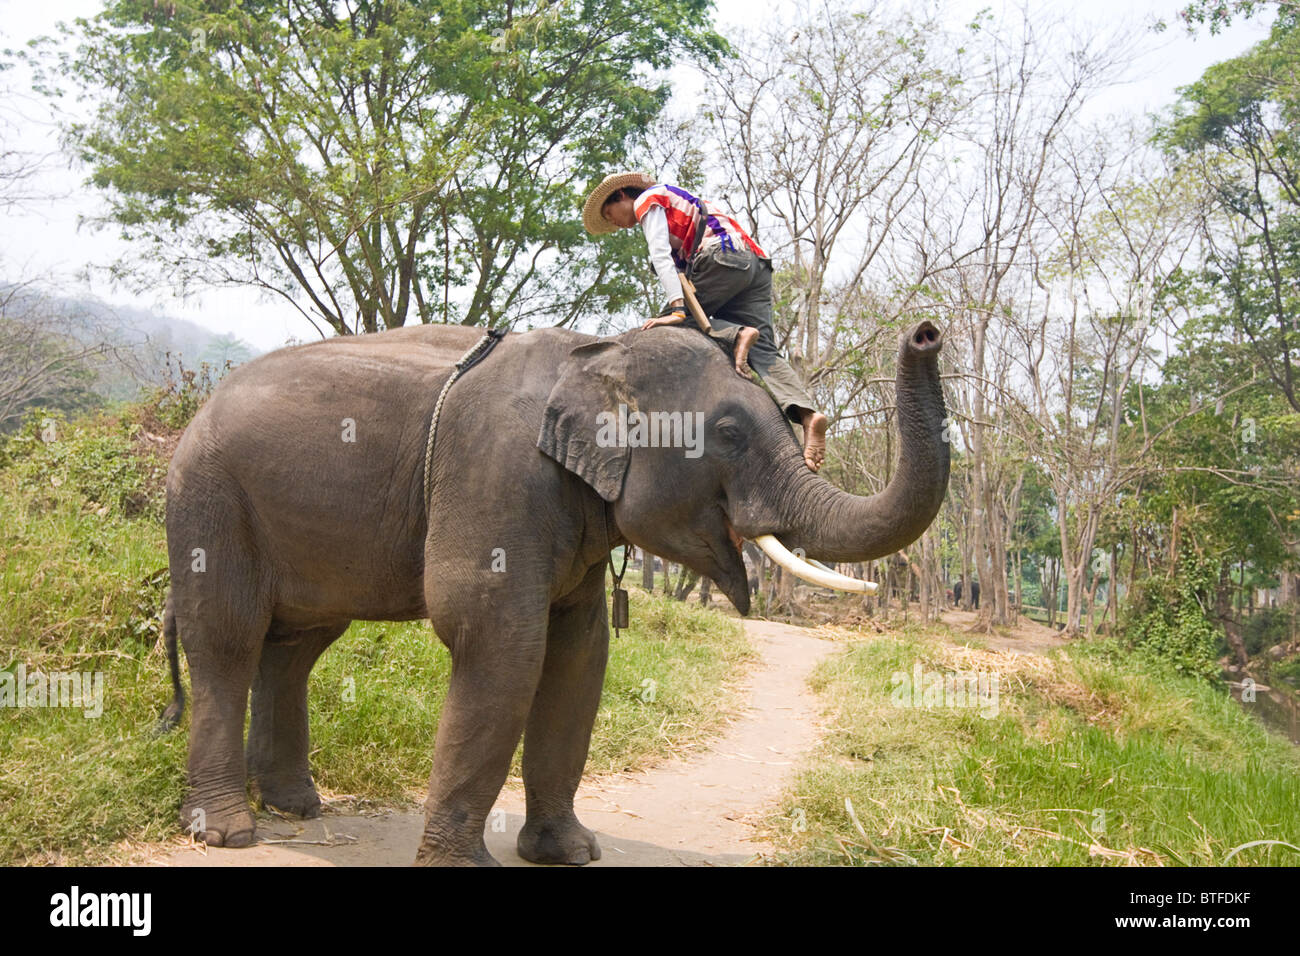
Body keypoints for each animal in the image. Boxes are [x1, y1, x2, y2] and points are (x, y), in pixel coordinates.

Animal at [158, 318, 949, 865]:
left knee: (297, 644)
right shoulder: (496, 478)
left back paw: (297, 808)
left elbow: (579, 654)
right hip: (211, 500)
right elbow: (498, 643)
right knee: (227, 642)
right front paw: (463, 865)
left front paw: (569, 853)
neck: (600, 351)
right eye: (727, 433)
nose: (927, 333)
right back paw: (229, 830)